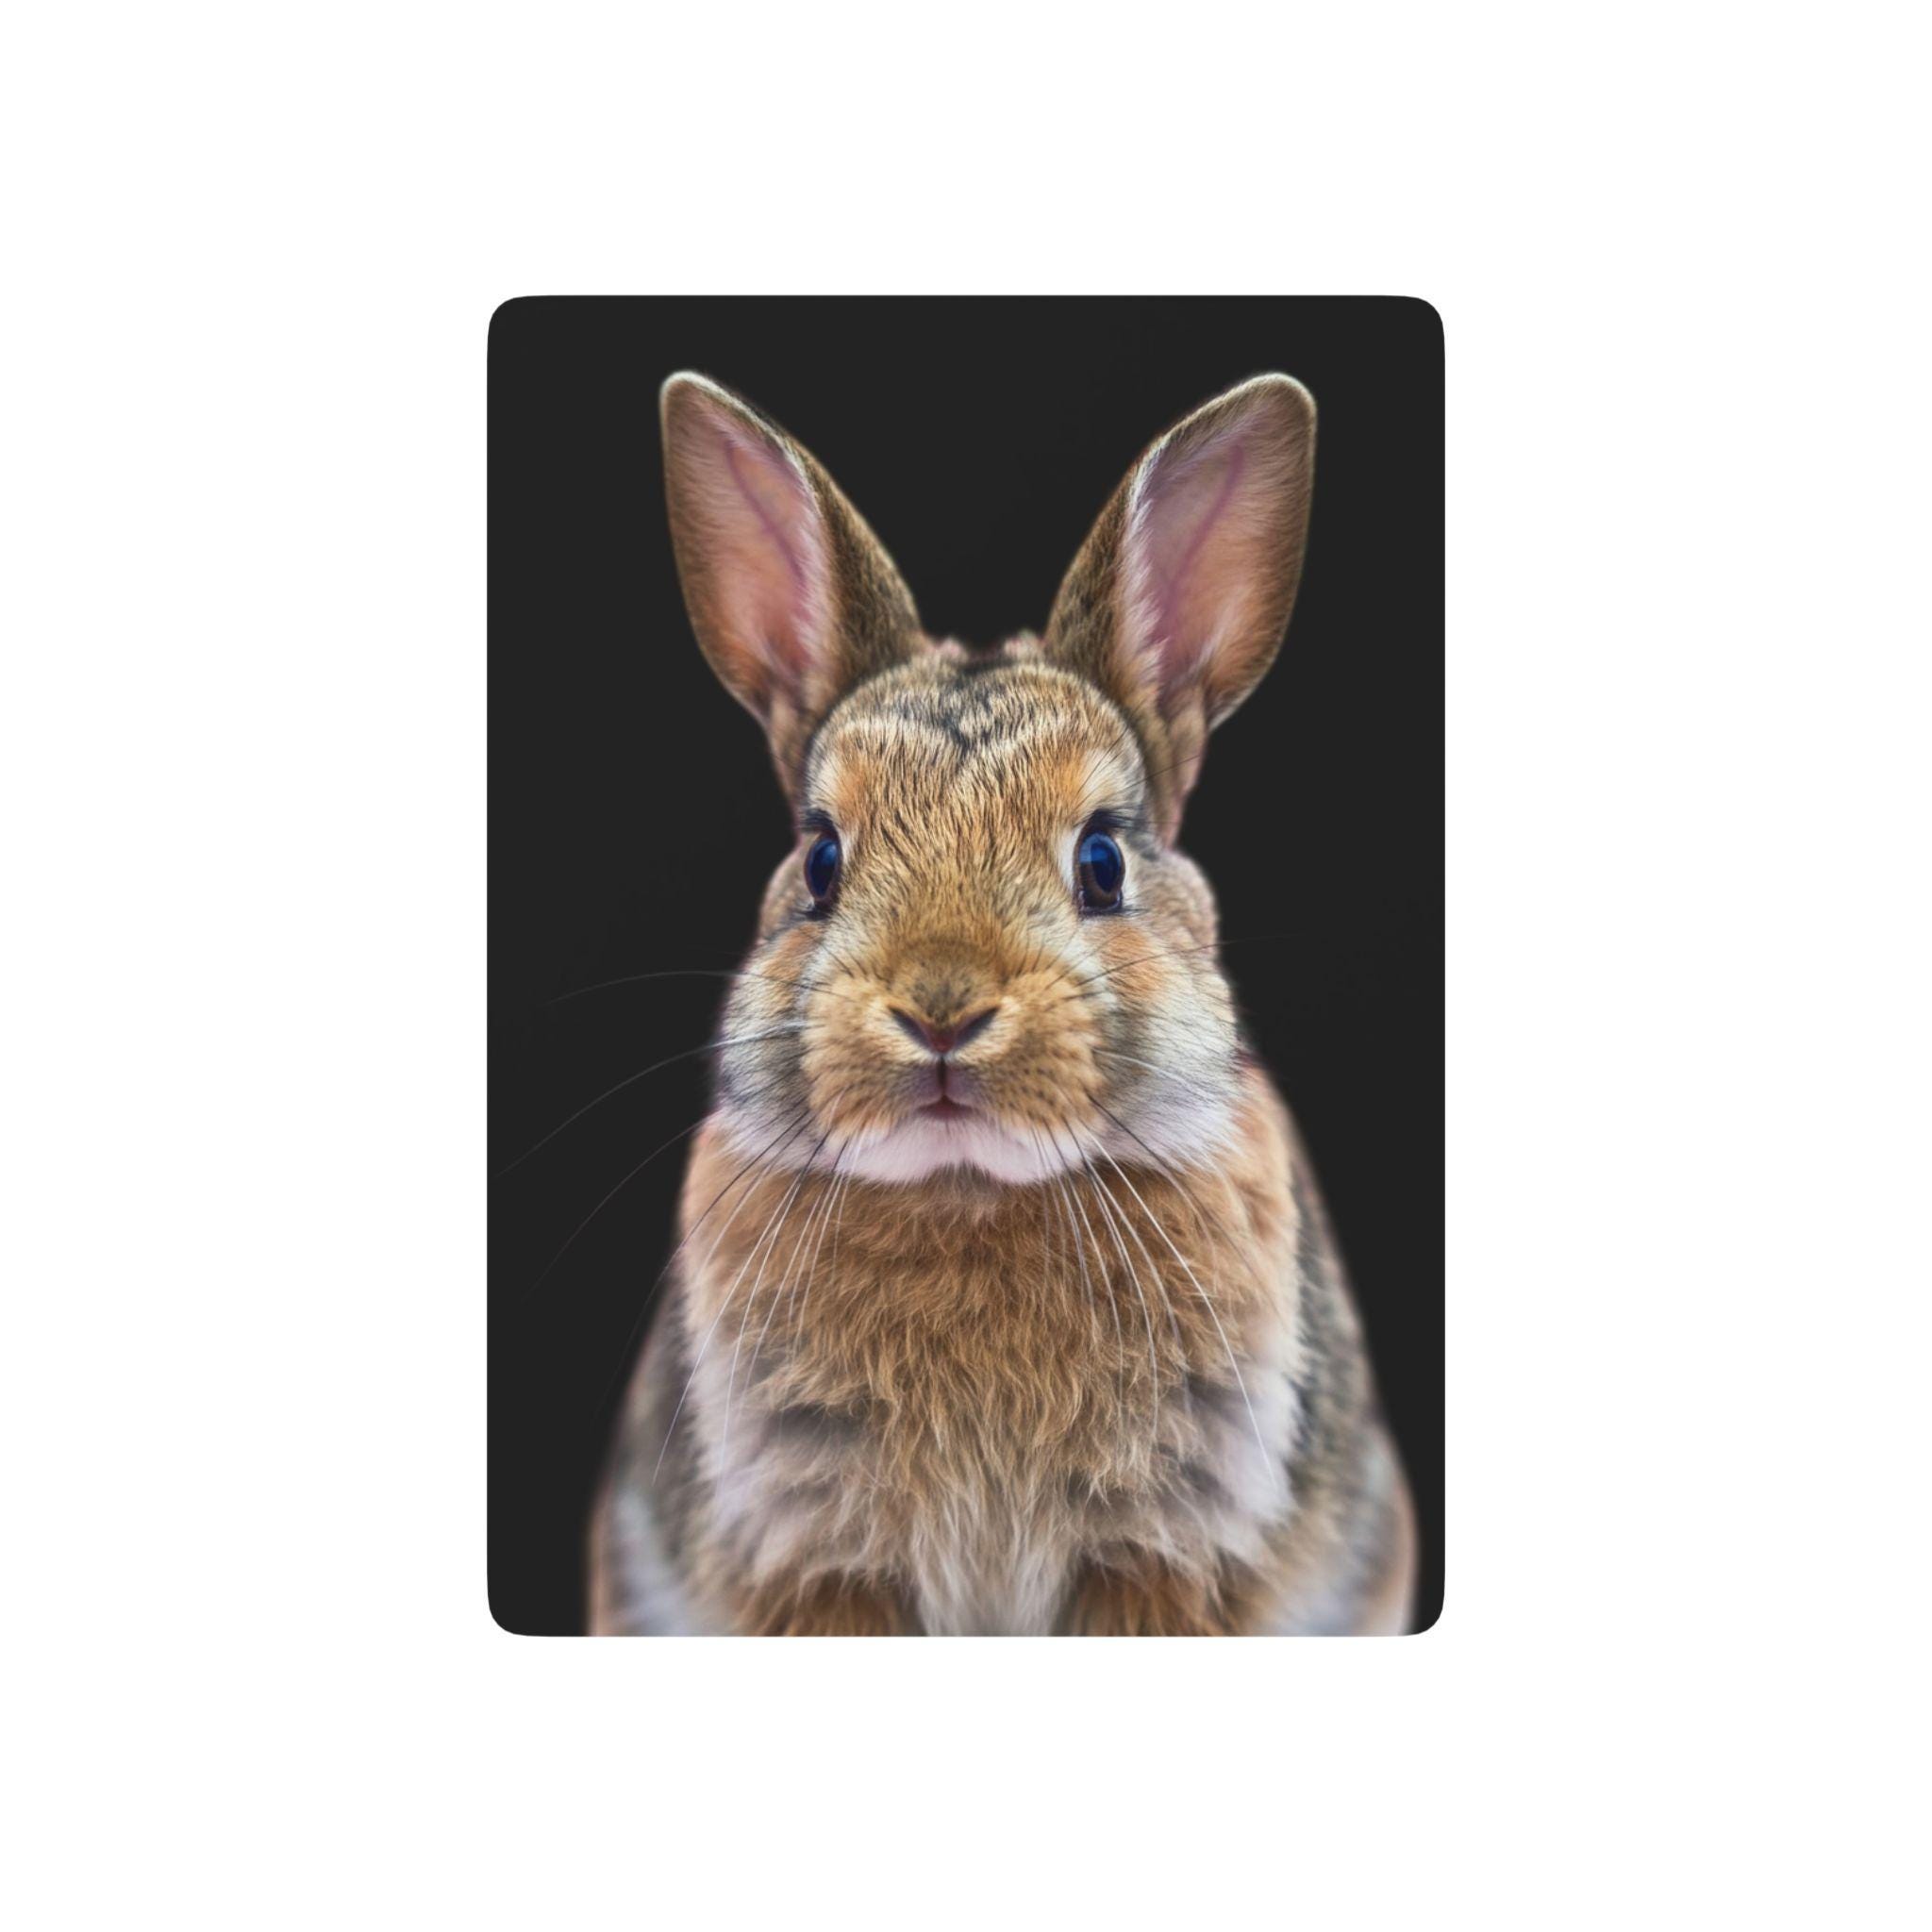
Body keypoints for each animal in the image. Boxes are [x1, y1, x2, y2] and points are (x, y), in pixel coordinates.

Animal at [588, 370, 1416, 1635]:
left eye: (1101, 864)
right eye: (820, 861)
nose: (940, 1009)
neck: (966, 1188)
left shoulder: (1157, 1554)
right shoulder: (821, 1561)